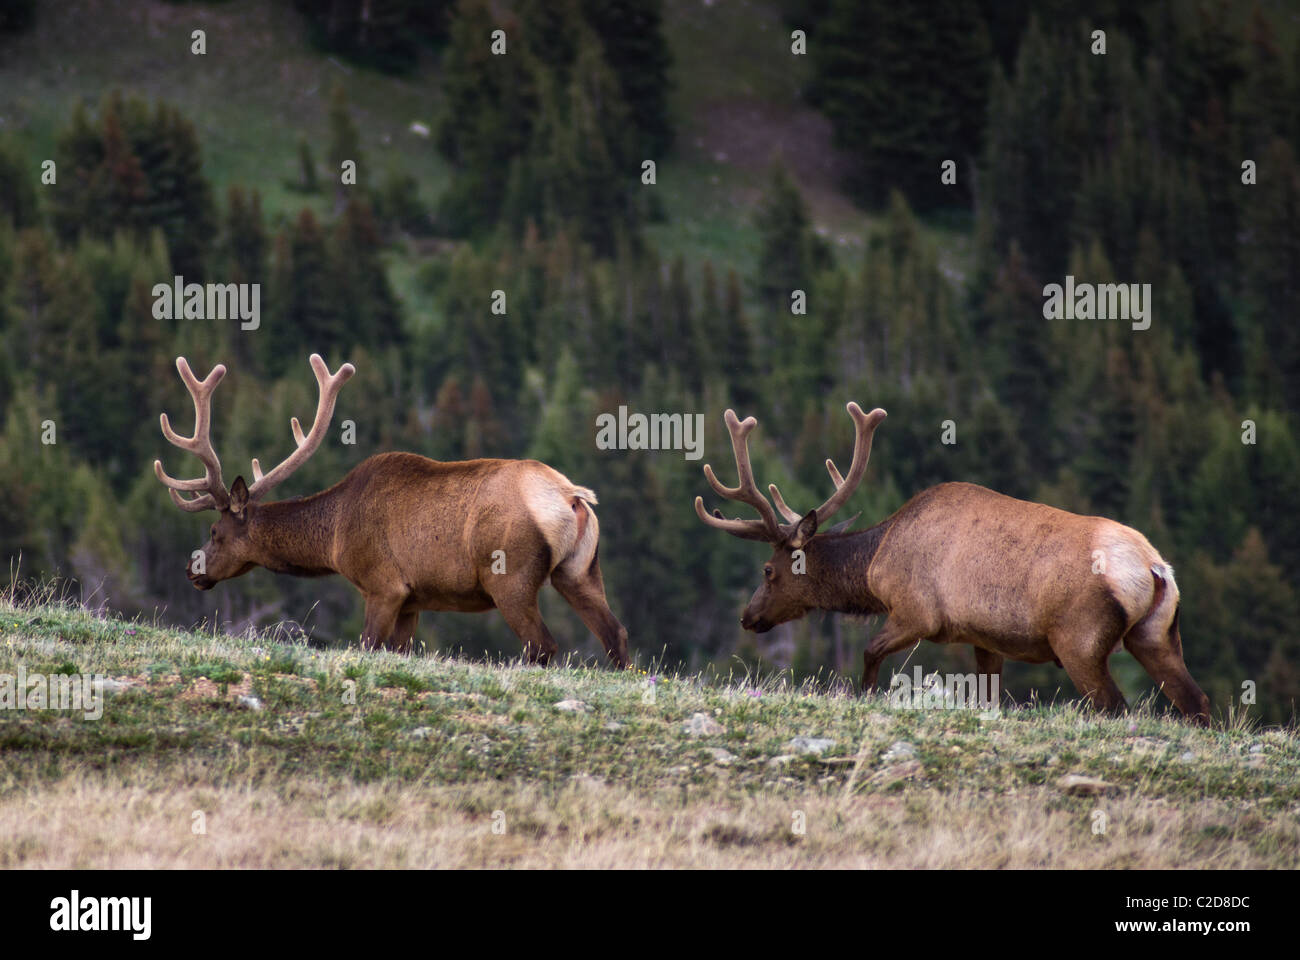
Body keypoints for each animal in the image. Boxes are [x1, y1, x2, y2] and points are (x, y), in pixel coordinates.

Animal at [154, 354, 629, 666]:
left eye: (214, 533)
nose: (191, 569)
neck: (334, 540)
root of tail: (572, 496)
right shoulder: (414, 598)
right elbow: (401, 651)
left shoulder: (384, 586)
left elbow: (368, 644)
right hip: (581, 570)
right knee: (616, 633)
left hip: (509, 576)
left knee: (543, 646)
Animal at [695, 402, 1211, 725]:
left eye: (768, 571)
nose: (748, 617)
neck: (875, 564)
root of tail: (1153, 568)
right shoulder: (985, 637)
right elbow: (989, 697)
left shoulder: (917, 612)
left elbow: (870, 653)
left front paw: (866, 697)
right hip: (1158, 634)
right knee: (1196, 700)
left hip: (1079, 640)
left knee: (1114, 705)